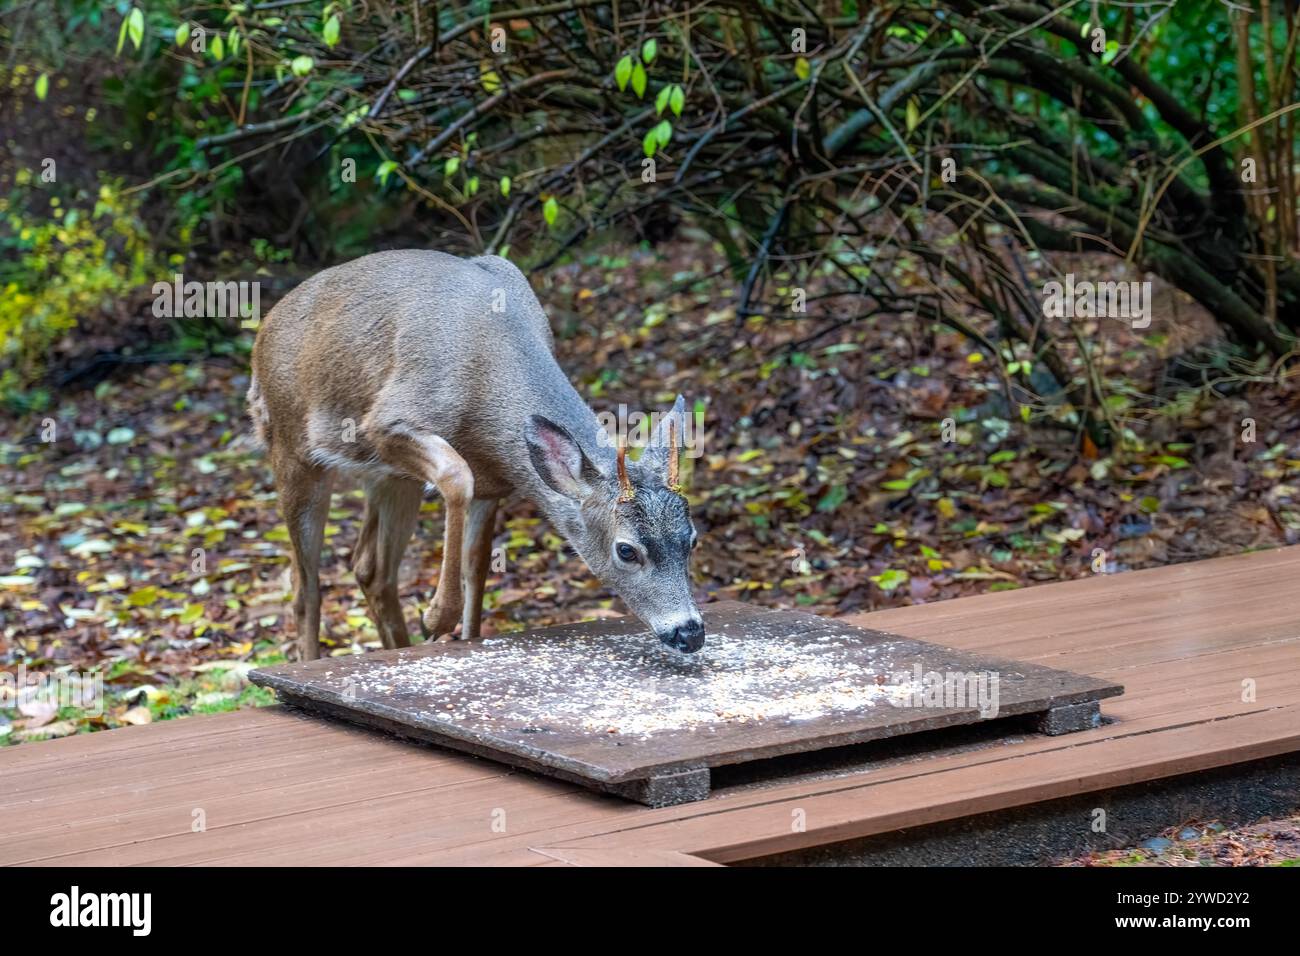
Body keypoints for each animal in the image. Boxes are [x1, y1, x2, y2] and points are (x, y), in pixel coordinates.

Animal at [247, 249, 704, 661]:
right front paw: (436, 617)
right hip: (291, 446)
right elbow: (454, 475)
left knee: (371, 569)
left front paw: (462, 633)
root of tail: (263, 332)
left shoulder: (493, 483)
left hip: (390, 478)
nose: (689, 632)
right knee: (304, 586)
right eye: (626, 550)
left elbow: (477, 567)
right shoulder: (388, 420)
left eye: (692, 539)